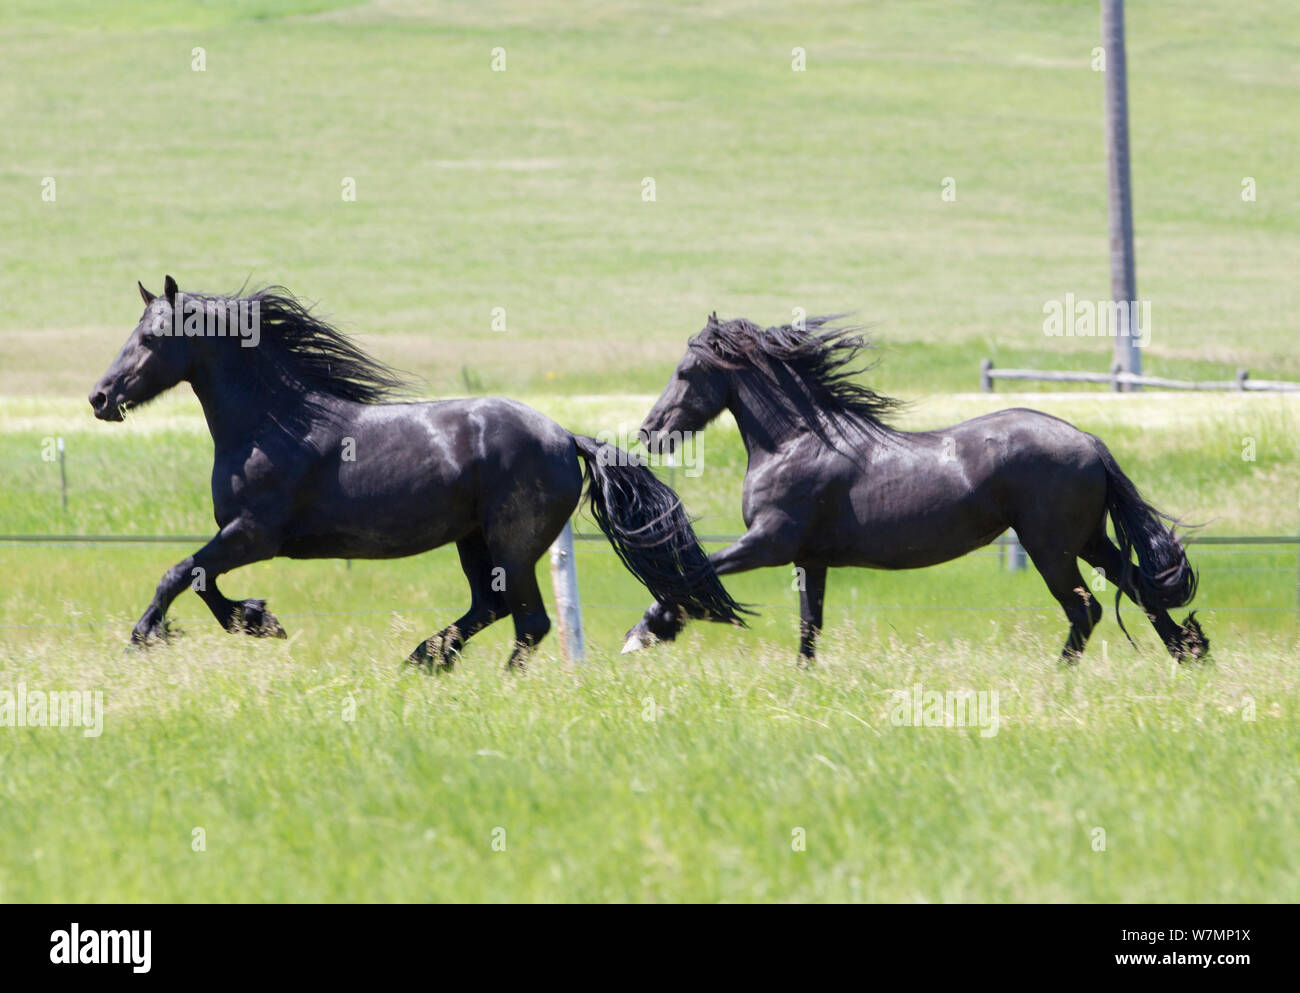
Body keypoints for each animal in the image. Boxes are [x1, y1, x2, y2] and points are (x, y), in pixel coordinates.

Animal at [88, 276, 743, 669]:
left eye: (153, 337)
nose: (100, 397)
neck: (273, 423)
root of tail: (565, 437)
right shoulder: (242, 537)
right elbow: (200, 580)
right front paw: (257, 619)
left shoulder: (254, 534)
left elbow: (181, 574)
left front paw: (153, 636)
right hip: (473, 542)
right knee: (492, 609)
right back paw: (424, 659)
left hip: (512, 543)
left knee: (527, 621)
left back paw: (477, 677)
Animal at [622, 313, 1208, 665]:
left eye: (685, 370)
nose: (650, 433)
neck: (799, 442)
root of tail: (1088, 441)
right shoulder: (810, 559)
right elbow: (810, 627)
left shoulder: (769, 544)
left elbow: (694, 572)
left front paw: (646, 632)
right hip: (1087, 540)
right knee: (1138, 586)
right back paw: (1189, 654)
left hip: (1051, 548)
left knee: (1085, 610)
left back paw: (1061, 677)